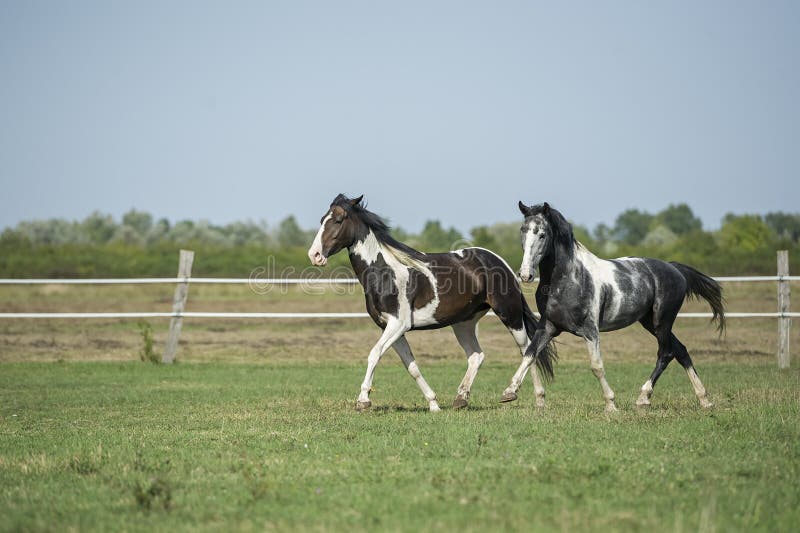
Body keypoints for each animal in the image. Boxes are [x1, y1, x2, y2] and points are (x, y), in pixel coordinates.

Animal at [307, 194, 556, 412]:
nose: (315, 255)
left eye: (338, 220)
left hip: (509, 314)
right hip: (463, 323)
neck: (384, 271)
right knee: (476, 356)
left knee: (527, 349)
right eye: (322, 220)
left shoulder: (398, 324)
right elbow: (412, 366)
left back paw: (530, 398)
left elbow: (374, 354)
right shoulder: (392, 329)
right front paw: (434, 404)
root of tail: (501, 263)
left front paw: (363, 401)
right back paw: (461, 399)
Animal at [503, 201, 725, 411]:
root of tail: (675, 269)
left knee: (666, 353)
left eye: (542, 234)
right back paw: (704, 399)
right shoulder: (548, 326)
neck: (567, 280)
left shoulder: (590, 331)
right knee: (681, 351)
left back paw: (643, 398)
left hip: (662, 321)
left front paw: (611, 404)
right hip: (650, 322)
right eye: (523, 230)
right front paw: (509, 392)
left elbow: (596, 366)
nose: (525, 274)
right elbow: (530, 353)